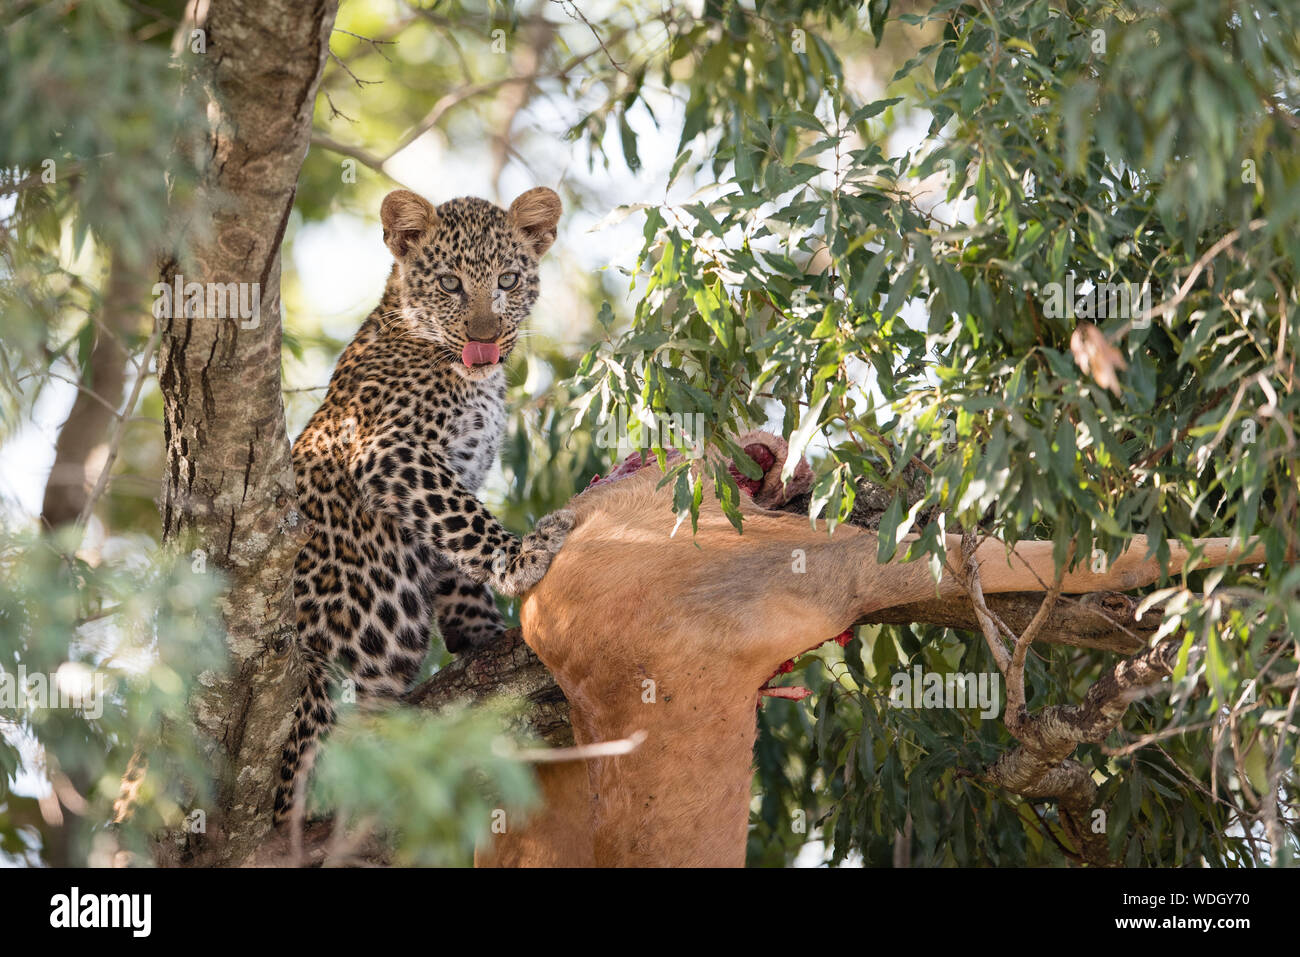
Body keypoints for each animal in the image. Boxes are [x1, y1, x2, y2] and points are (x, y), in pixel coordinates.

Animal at [272, 186, 575, 822]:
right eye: (450, 284)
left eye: (508, 279)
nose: (485, 336)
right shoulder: (389, 452)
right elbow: (464, 519)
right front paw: (525, 557)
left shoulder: (454, 477)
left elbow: (455, 555)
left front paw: (483, 633)